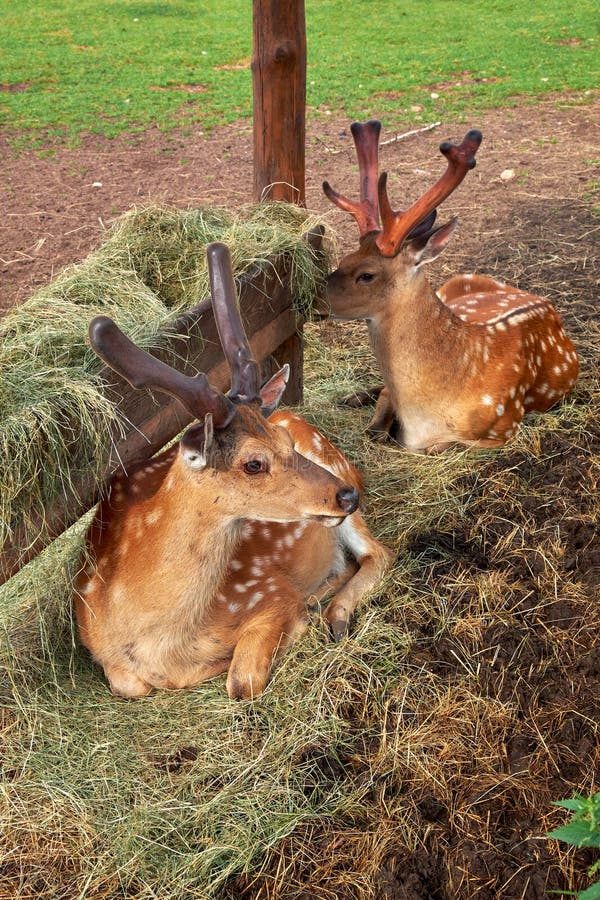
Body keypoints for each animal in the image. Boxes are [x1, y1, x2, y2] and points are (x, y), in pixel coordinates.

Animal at [74, 242, 393, 701]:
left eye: (284, 442)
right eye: (253, 463)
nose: (345, 495)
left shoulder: (269, 593)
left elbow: (240, 681)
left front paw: (299, 620)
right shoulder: (110, 661)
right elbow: (131, 684)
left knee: (377, 555)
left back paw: (329, 610)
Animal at [318, 120, 579, 452]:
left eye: (366, 274)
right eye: (344, 258)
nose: (311, 296)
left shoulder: (504, 426)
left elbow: (437, 446)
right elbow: (376, 426)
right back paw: (353, 396)